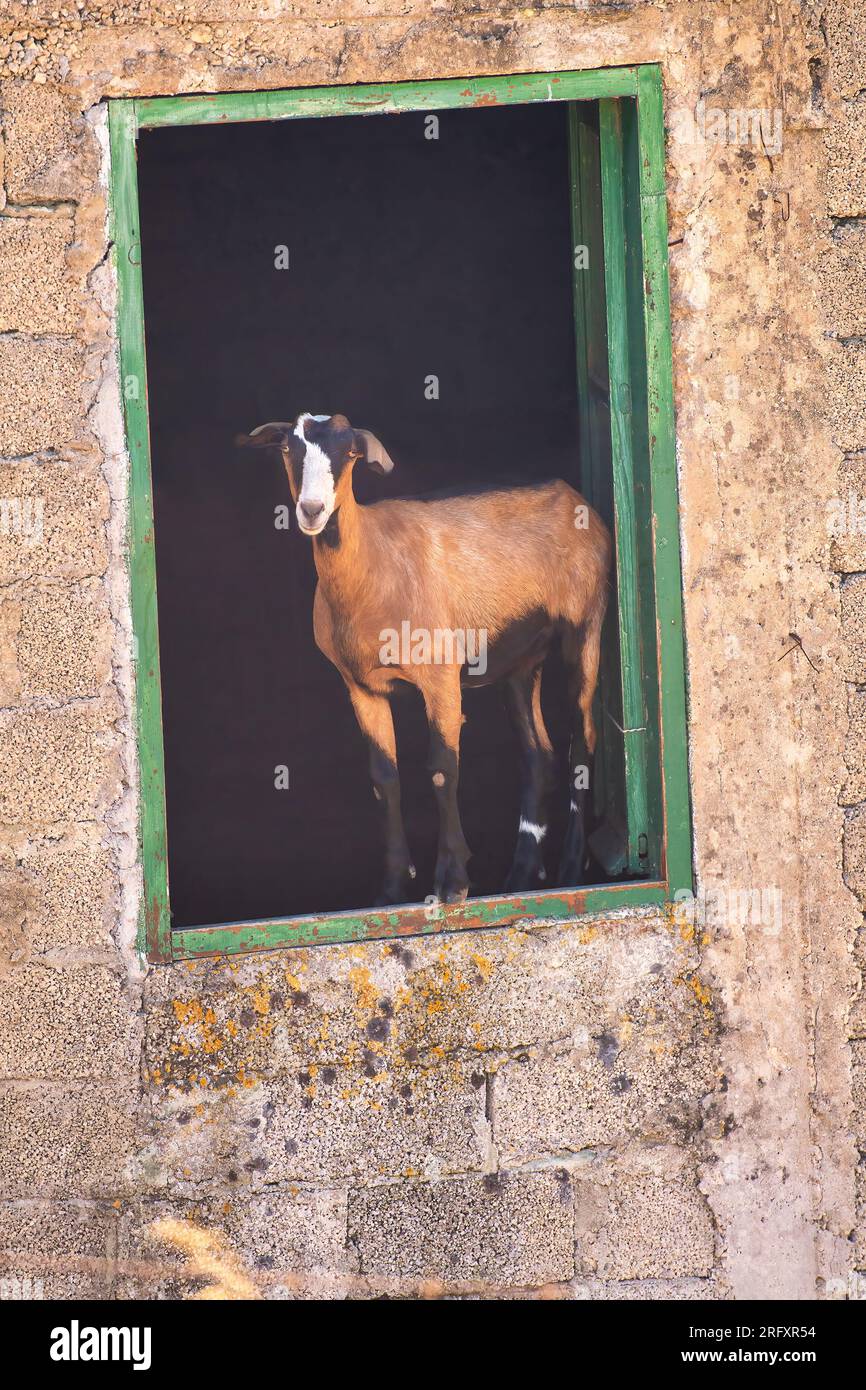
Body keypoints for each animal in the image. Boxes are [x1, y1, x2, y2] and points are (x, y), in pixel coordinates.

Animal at [239, 413, 611, 905]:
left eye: (351, 453)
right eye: (288, 448)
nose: (312, 510)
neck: (373, 564)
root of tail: (575, 498)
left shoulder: (441, 676)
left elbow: (441, 770)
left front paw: (453, 882)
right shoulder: (361, 686)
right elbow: (384, 778)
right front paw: (393, 887)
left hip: (584, 628)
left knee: (582, 743)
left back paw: (570, 870)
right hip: (520, 660)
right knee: (538, 756)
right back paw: (519, 877)